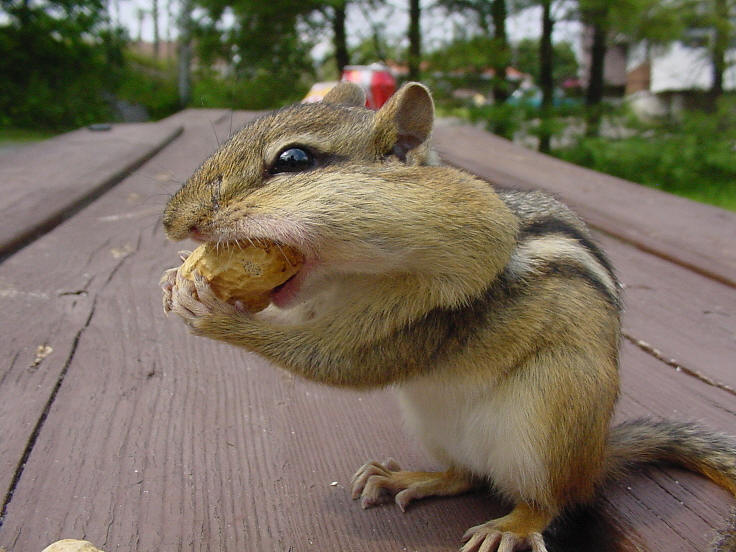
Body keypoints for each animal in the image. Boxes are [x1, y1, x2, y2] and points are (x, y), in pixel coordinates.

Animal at [161, 81, 736, 552]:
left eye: (294, 159)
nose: (174, 223)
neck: (353, 276)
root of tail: (595, 460)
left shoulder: (433, 319)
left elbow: (342, 362)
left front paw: (213, 314)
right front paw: (175, 278)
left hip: (550, 418)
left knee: (548, 500)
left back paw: (513, 525)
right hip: (433, 424)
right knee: (464, 475)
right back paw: (410, 479)